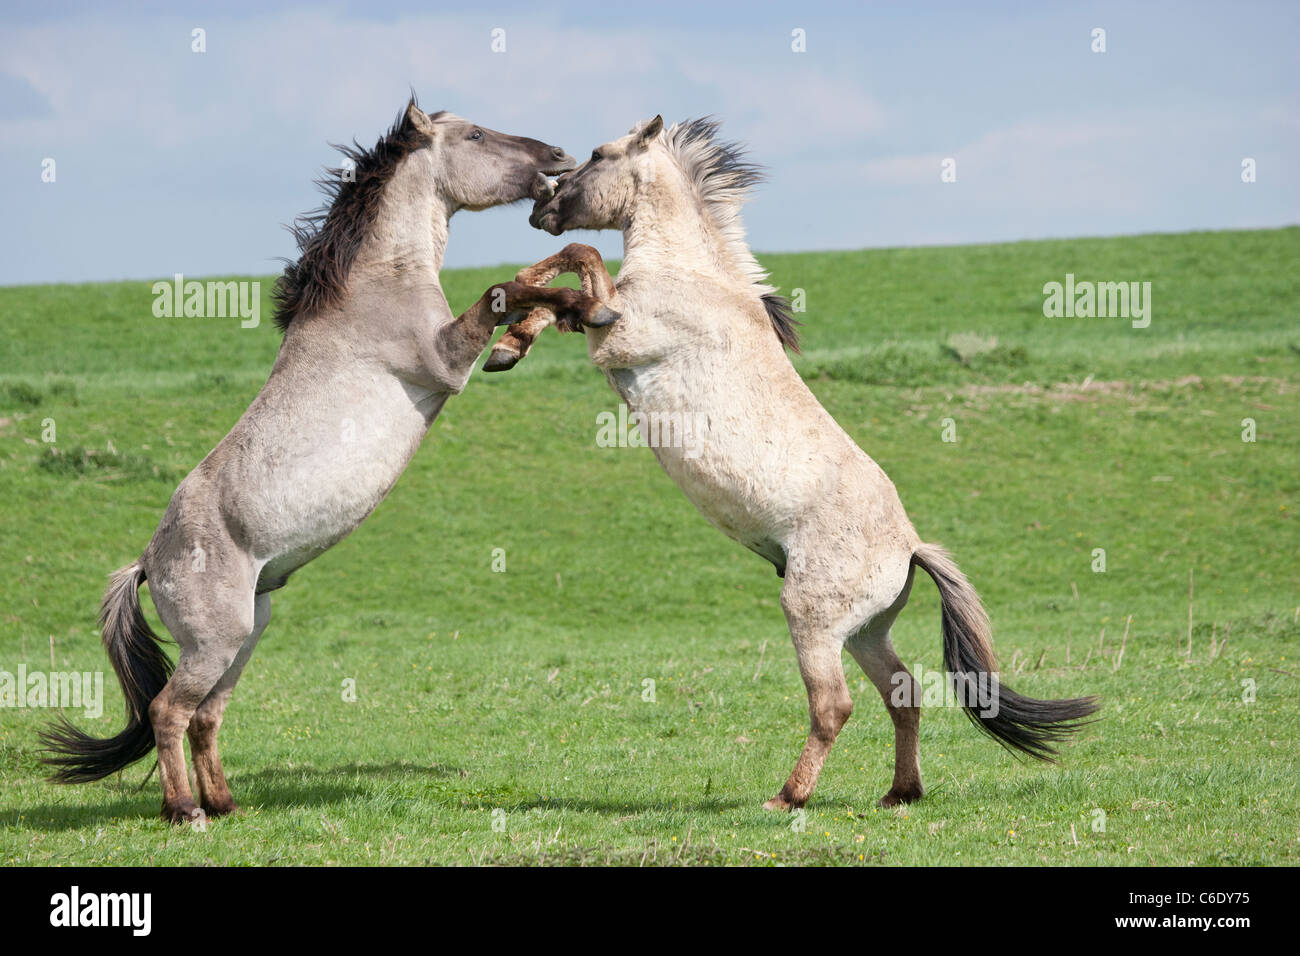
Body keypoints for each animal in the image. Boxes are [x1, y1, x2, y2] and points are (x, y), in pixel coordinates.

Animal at [41, 99, 617, 824]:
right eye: (477, 135)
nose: (558, 156)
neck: (377, 286)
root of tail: (145, 563)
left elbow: (560, 257)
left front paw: (577, 307)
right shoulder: (446, 361)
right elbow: (509, 288)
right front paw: (579, 312)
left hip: (246, 635)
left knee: (207, 715)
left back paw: (225, 804)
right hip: (217, 641)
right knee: (168, 710)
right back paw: (186, 813)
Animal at [487, 116, 1097, 810]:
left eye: (597, 155)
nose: (540, 205)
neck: (696, 279)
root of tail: (911, 547)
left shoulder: (614, 335)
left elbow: (579, 266)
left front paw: (513, 320)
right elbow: (557, 286)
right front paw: (507, 340)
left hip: (812, 621)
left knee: (834, 705)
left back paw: (788, 797)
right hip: (863, 633)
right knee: (904, 694)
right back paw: (900, 793)